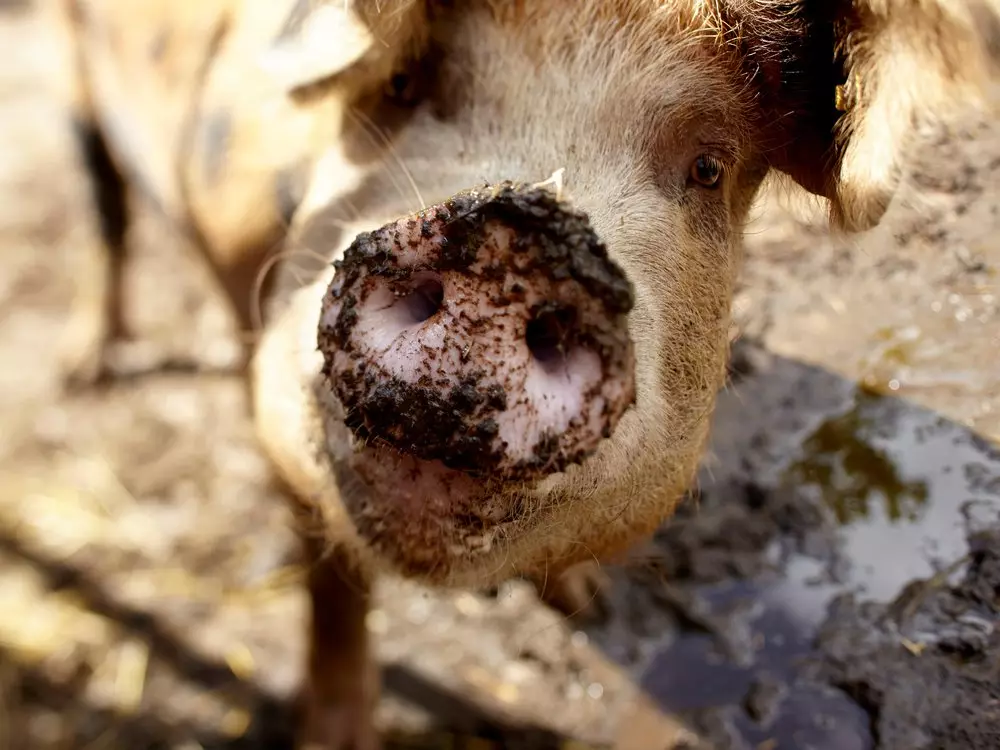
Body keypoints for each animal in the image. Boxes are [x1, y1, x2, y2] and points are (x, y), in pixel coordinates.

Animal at [43, 1, 1000, 750]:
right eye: (403, 85)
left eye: (708, 166)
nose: (512, 224)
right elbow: (331, 587)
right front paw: (332, 739)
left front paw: (585, 604)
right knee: (107, 212)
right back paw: (89, 368)